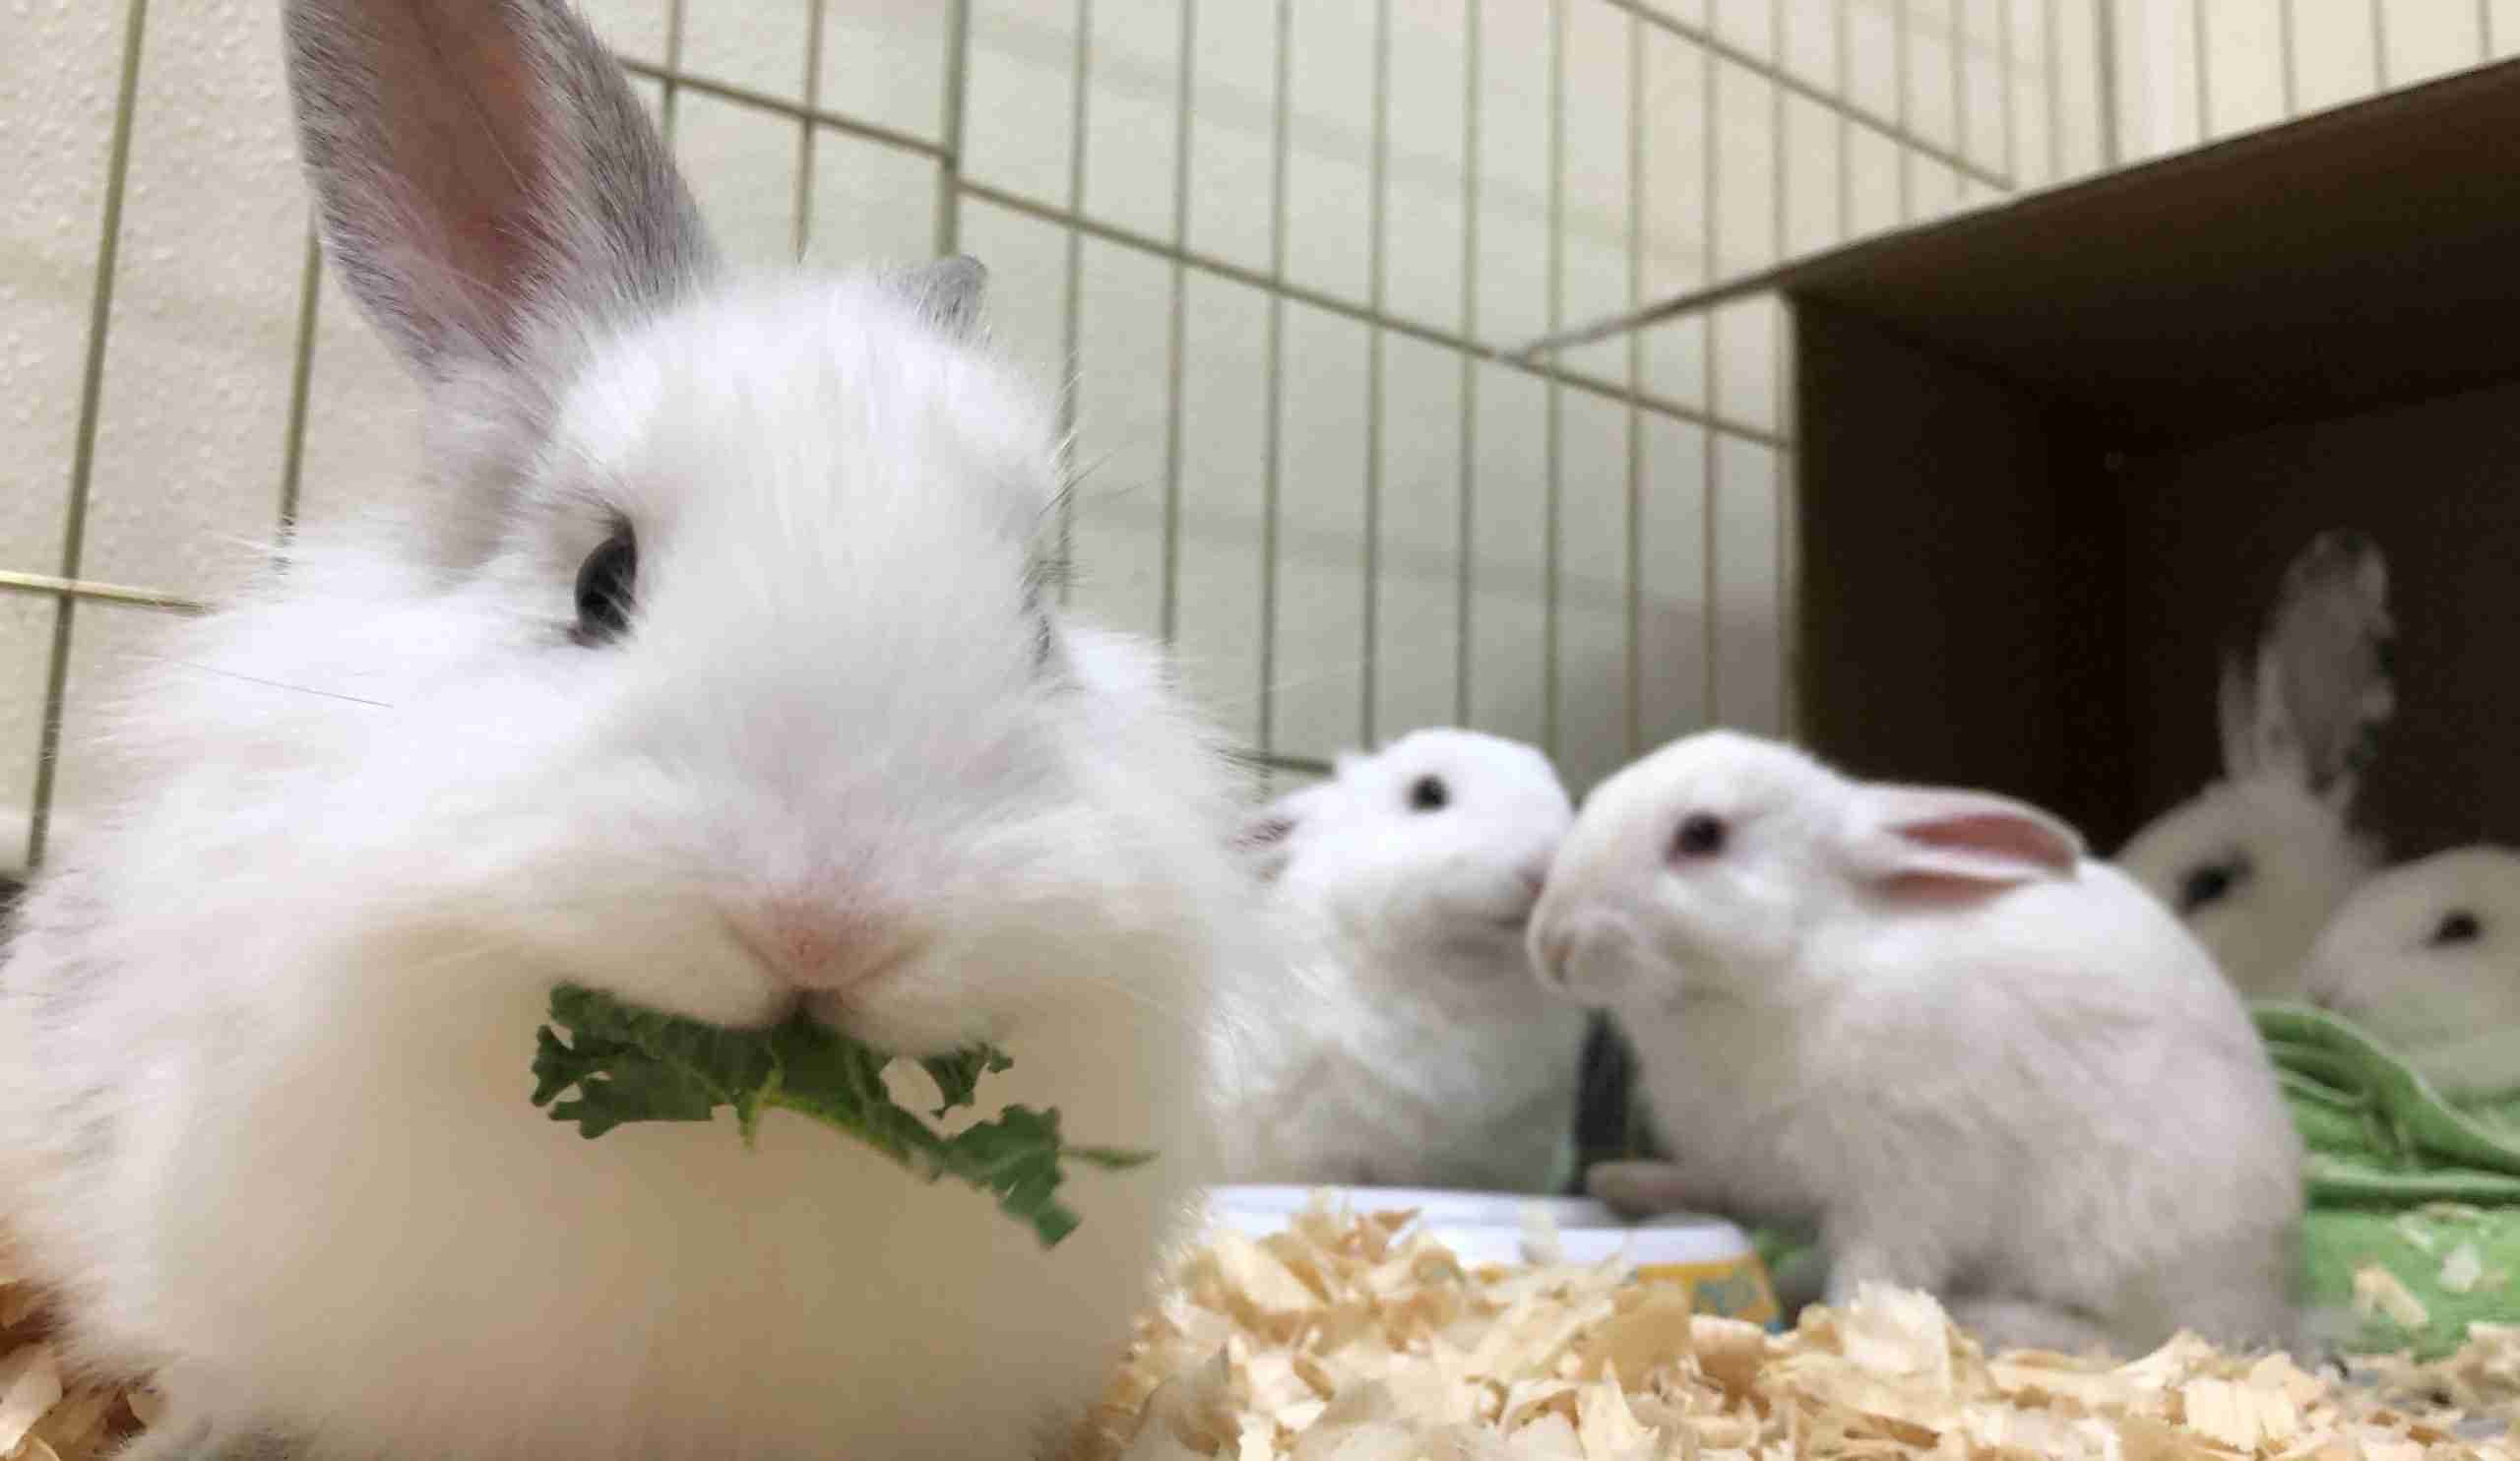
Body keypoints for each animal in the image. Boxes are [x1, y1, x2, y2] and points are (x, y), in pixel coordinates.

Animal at [1529, 729, 2306, 1358]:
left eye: (1701, 834)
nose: (1553, 945)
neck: (1793, 966)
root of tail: (2275, 1295)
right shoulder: (1765, 1171)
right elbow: (1727, 1192)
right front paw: (1623, 1183)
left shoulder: (1905, 1181)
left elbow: (1872, 1270)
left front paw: (1827, 1334)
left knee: (2138, 1335)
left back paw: (1995, 1321)